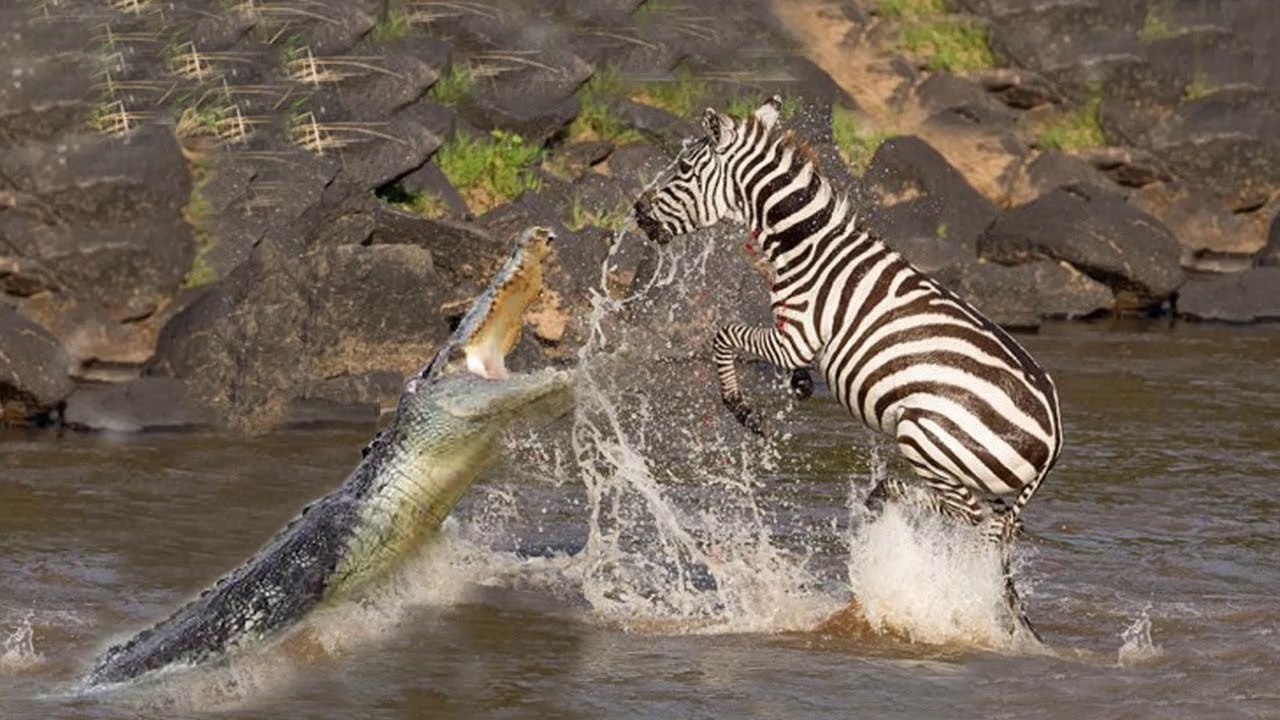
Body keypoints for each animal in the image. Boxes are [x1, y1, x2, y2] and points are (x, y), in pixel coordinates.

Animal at [632, 97, 1063, 635]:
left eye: (685, 170)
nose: (638, 212)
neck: (808, 245)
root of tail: (1053, 433)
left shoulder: (797, 334)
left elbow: (723, 336)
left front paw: (741, 409)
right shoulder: (793, 340)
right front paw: (796, 386)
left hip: (928, 439)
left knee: (973, 518)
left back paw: (888, 493)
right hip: (987, 475)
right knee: (999, 527)